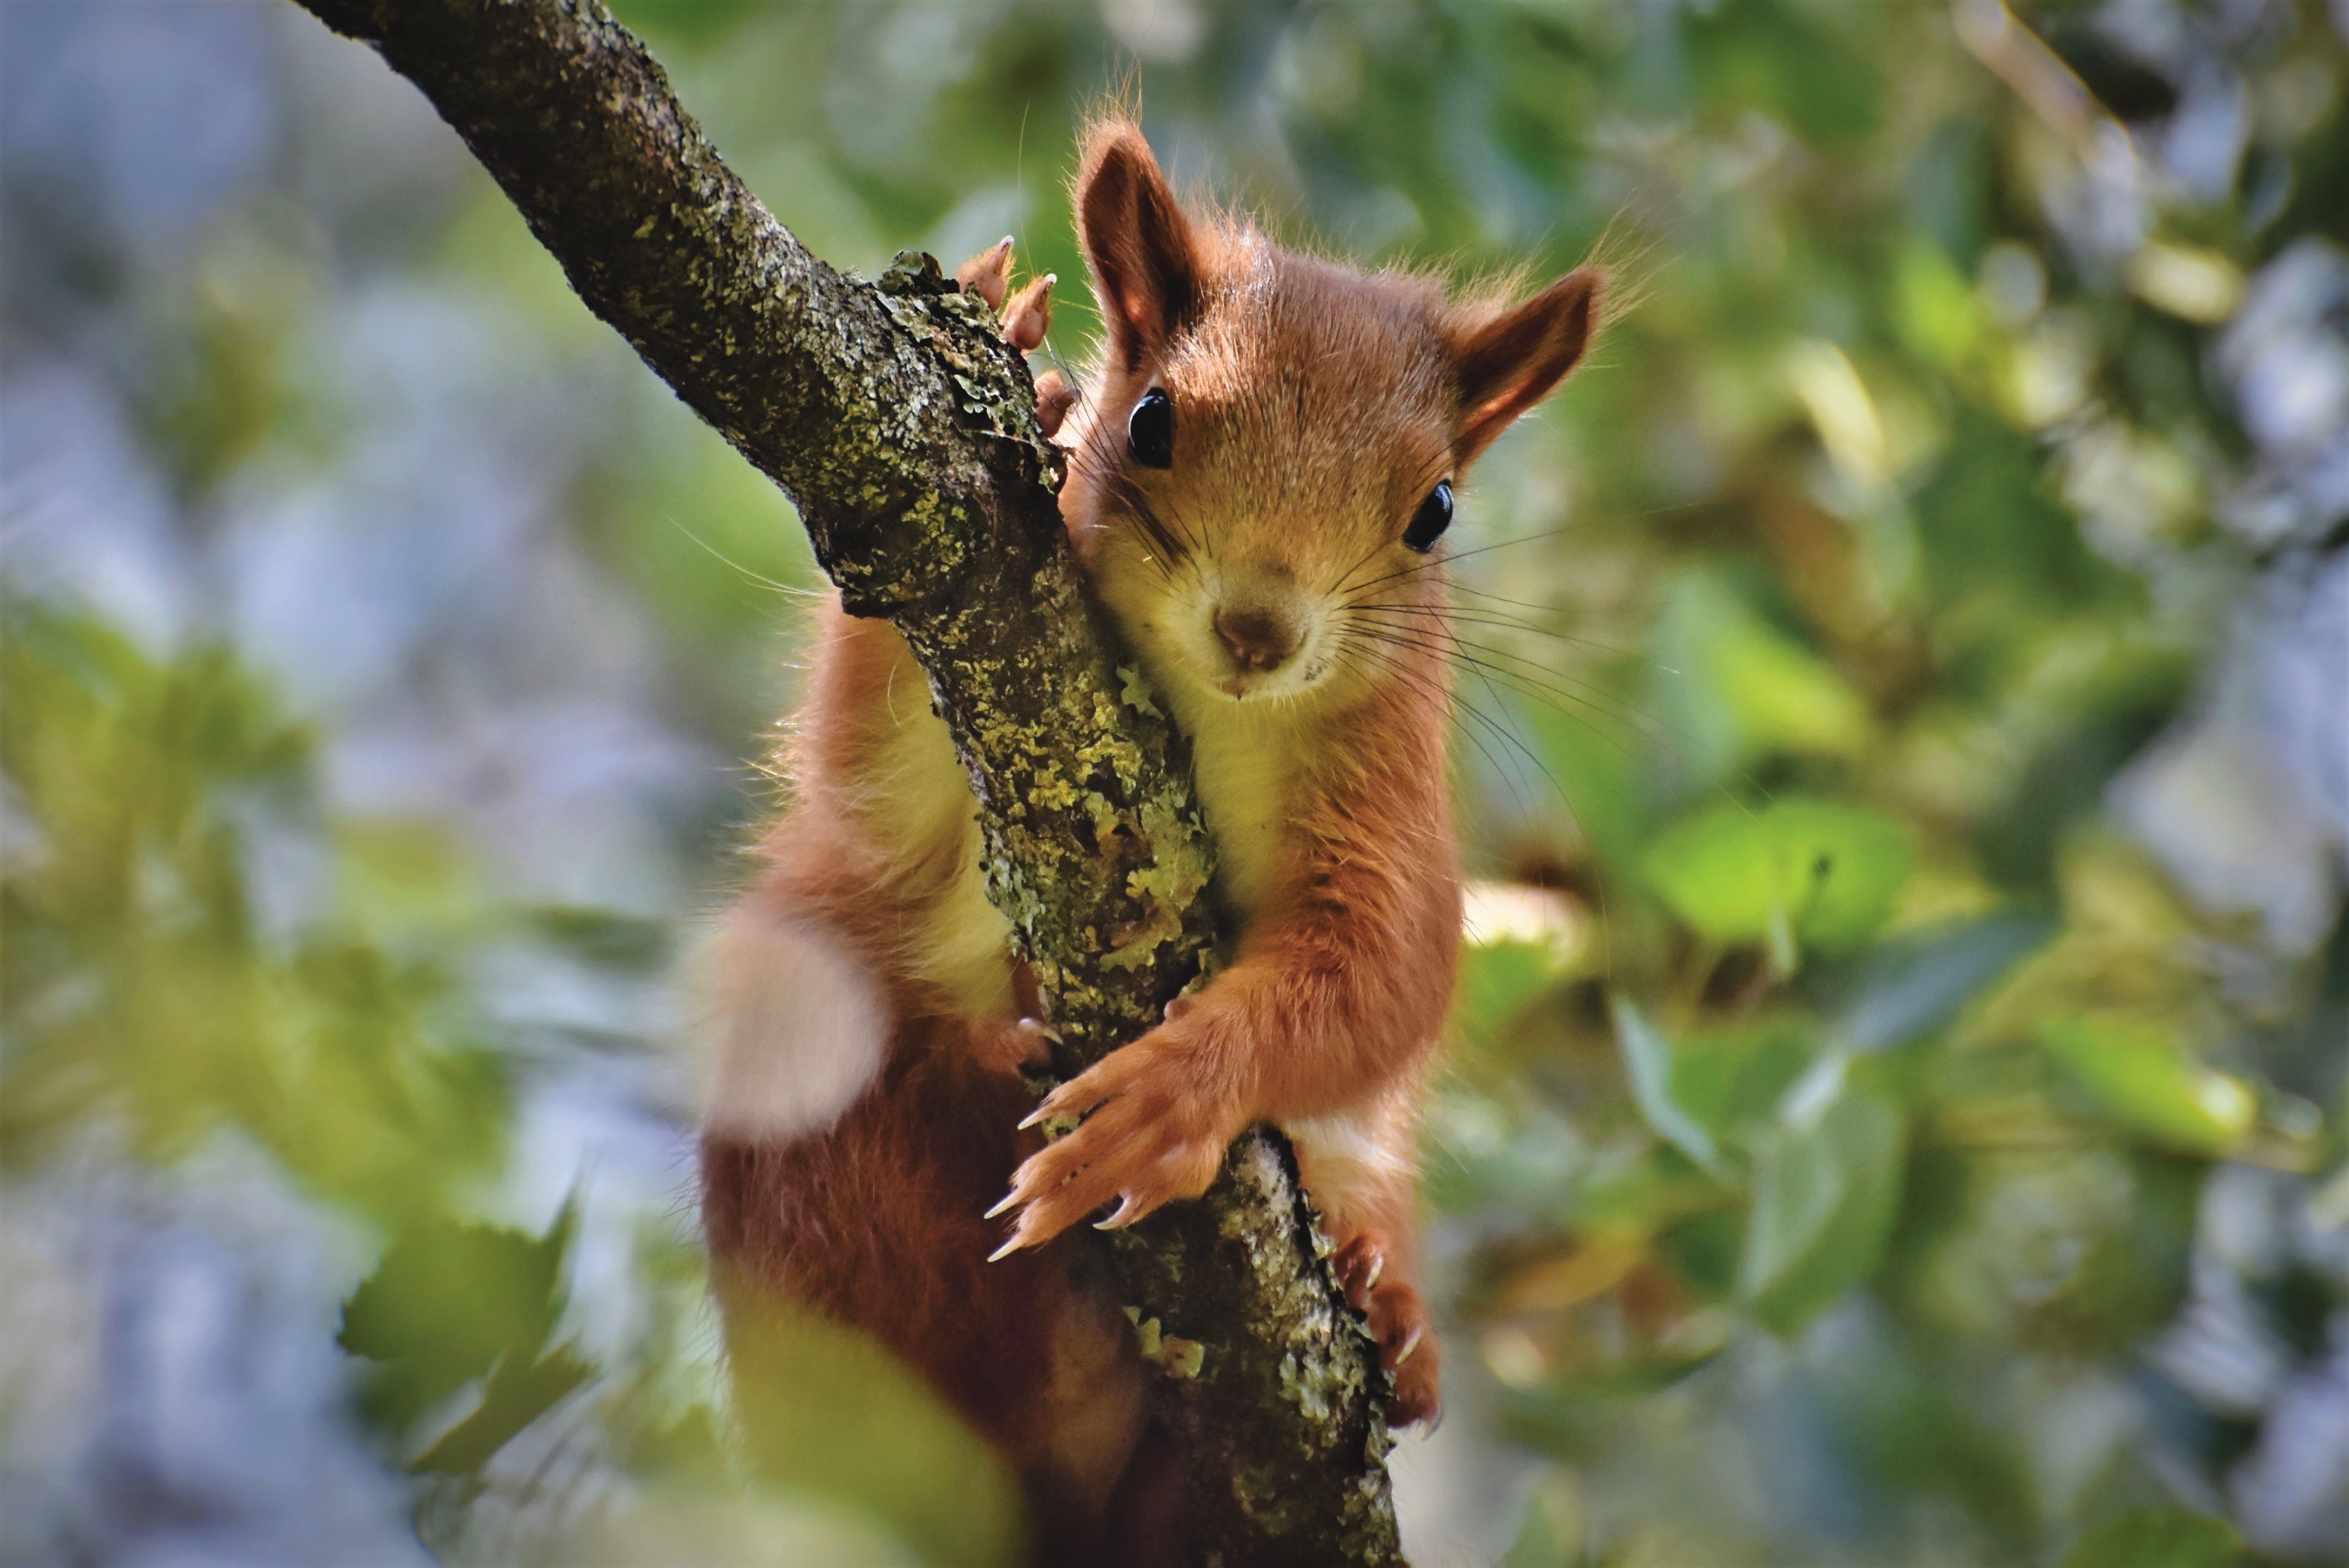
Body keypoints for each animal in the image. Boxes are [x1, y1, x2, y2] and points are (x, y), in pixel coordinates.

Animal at [697, 117, 1602, 1558]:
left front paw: (1174, 1094)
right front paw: (1012, 341)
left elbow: (1384, 973)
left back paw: (1382, 1304)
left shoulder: (1384, 802)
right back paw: (980, 1062)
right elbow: (862, 769)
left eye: (1437, 510)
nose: (1258, 631)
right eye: (1153, 419)